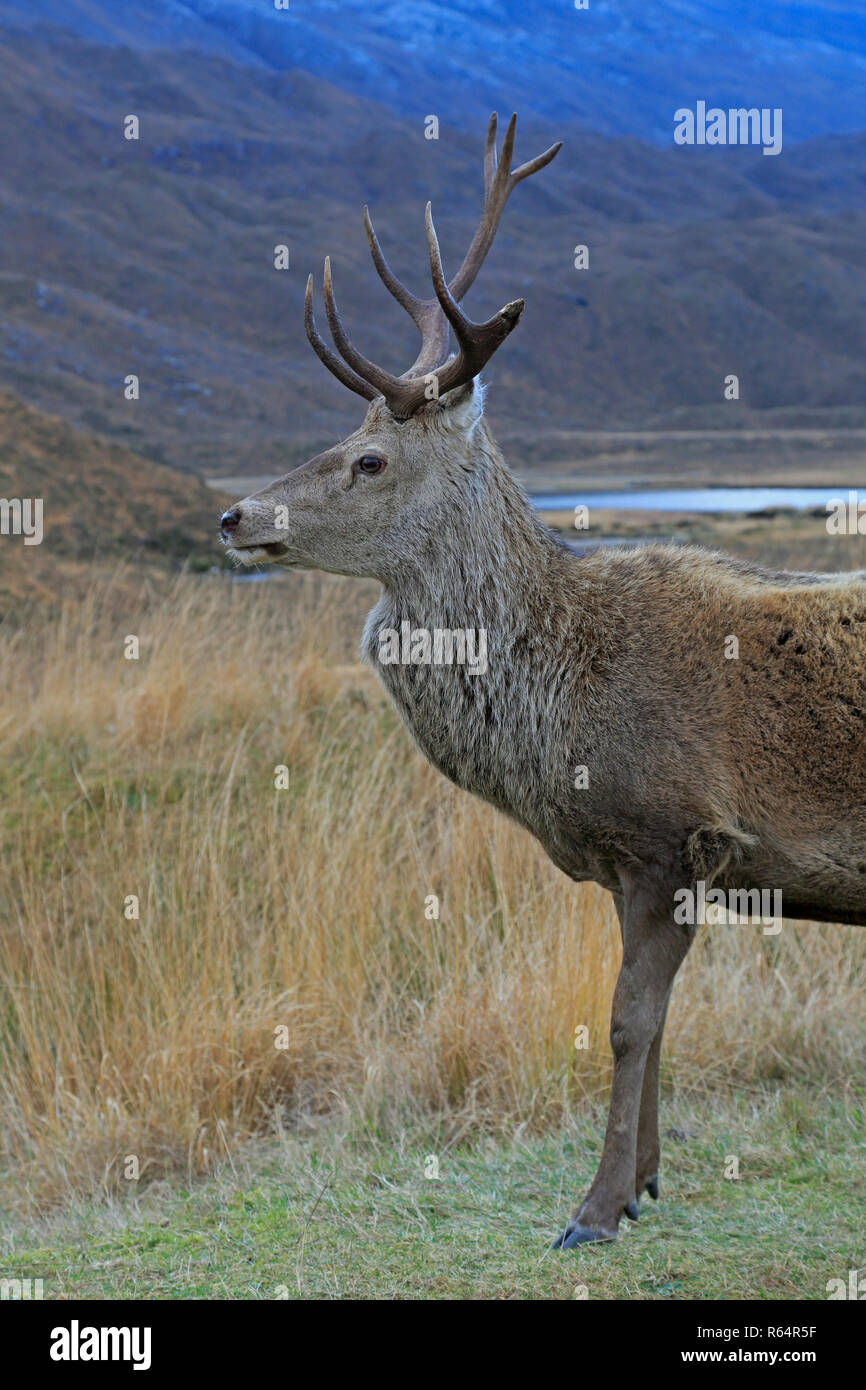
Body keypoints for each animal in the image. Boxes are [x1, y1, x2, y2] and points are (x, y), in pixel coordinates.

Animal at [220, 114, 866, 1247]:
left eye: (369, 460)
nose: (233, 515)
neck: (555, 716)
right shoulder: (636, 863)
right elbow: (657, 1024)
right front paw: (646, 1181)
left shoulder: (676, 834)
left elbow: (624, 1023)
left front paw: (594, 1209)